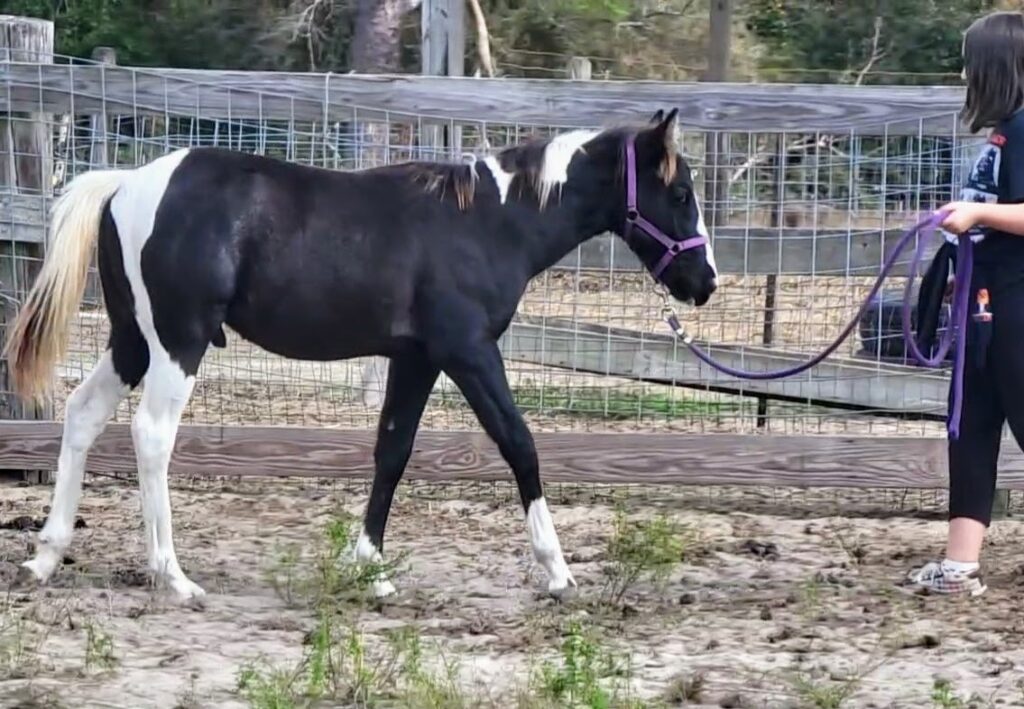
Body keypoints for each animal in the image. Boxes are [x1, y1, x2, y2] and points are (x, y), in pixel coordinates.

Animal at [4, 107, 718, 603]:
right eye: (681, 195)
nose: (704, 282)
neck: (490, 222)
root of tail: (126, 184)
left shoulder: (417, 358)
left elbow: (392, 451)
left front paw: (369, 568)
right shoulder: (468, 350)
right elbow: (519, 444)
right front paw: (559, 572)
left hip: (133, 341)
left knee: (81, 415)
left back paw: (45, 556)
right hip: (178, 342)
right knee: (151, 435)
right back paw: (173, 577)